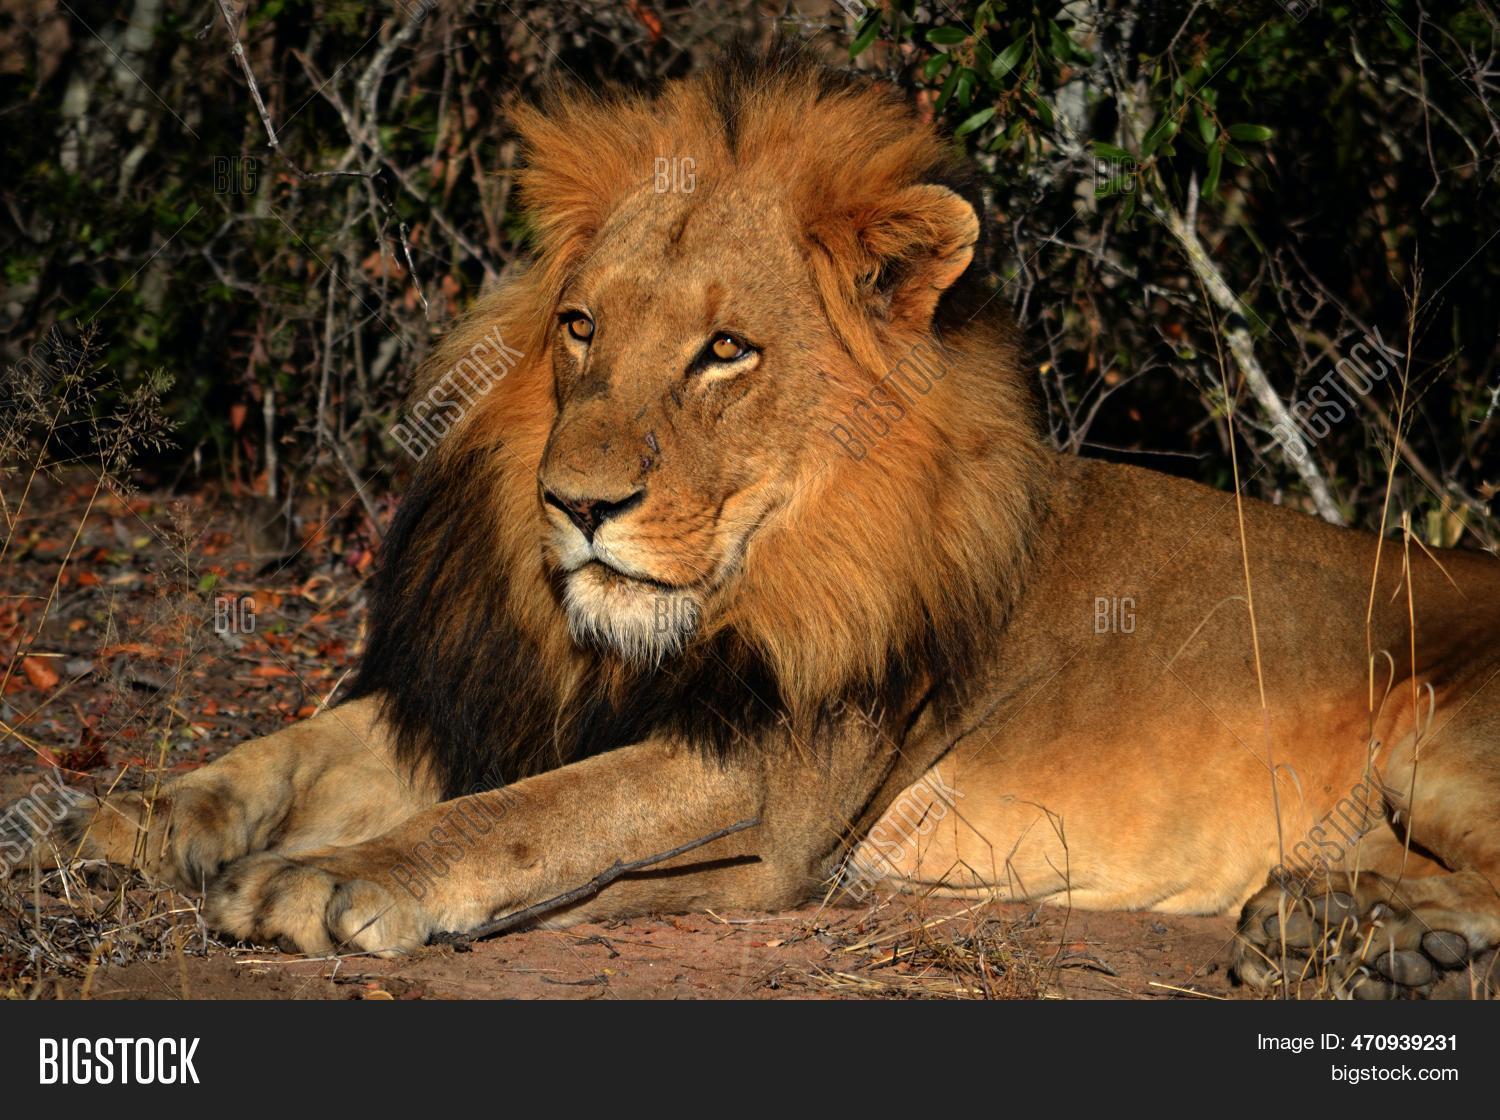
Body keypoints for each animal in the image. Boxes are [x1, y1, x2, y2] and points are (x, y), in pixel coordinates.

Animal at [41, 44, 1500, 997]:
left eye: (725, 352)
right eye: (582, 327)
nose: (576, 505)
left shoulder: (779, 787)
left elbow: (537, 815)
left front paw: (332, 880)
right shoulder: (502, 697)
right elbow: (283, 754)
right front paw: (113, 829)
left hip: (1436, 740)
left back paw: (1355, 935)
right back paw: (1364, 936)